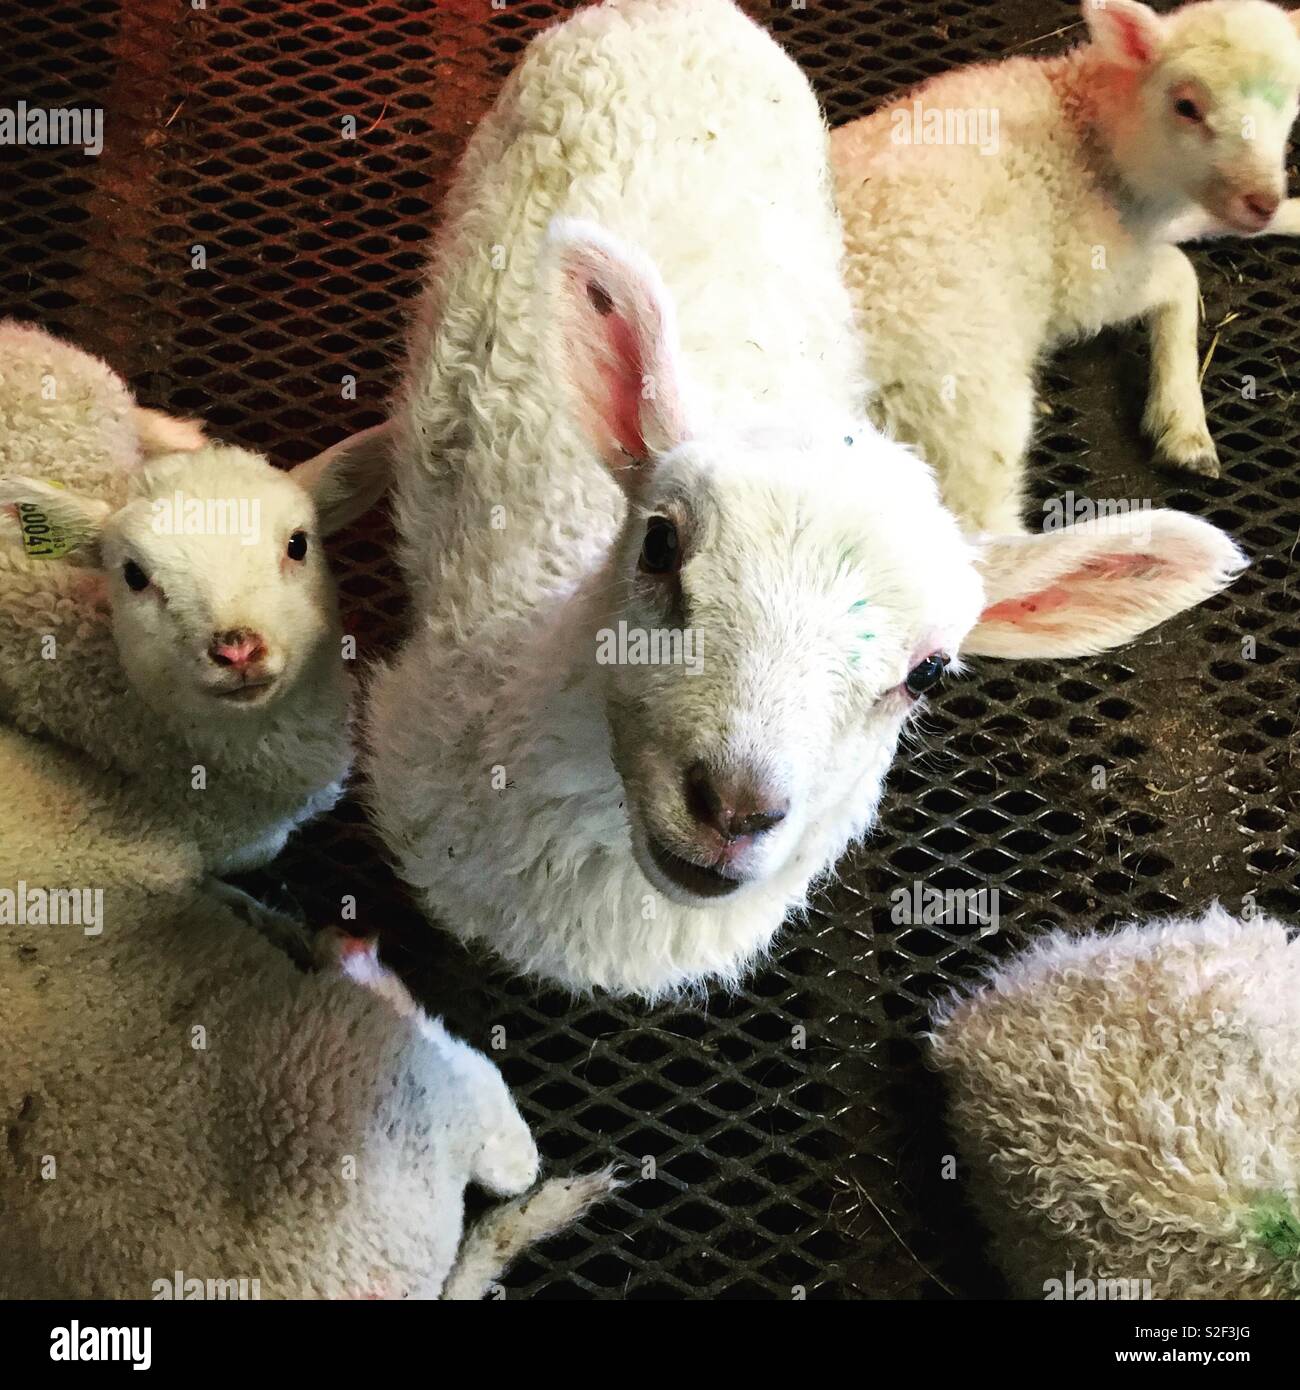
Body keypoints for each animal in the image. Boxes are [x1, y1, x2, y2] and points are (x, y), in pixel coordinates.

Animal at [833, 0, 1300, 534]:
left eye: (1290, 101)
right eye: (1186, 106)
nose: (1260, 201)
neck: (1086, 125)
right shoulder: (1091, 277)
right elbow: (1182, 274)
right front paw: (1184, 426)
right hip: (956, 417)